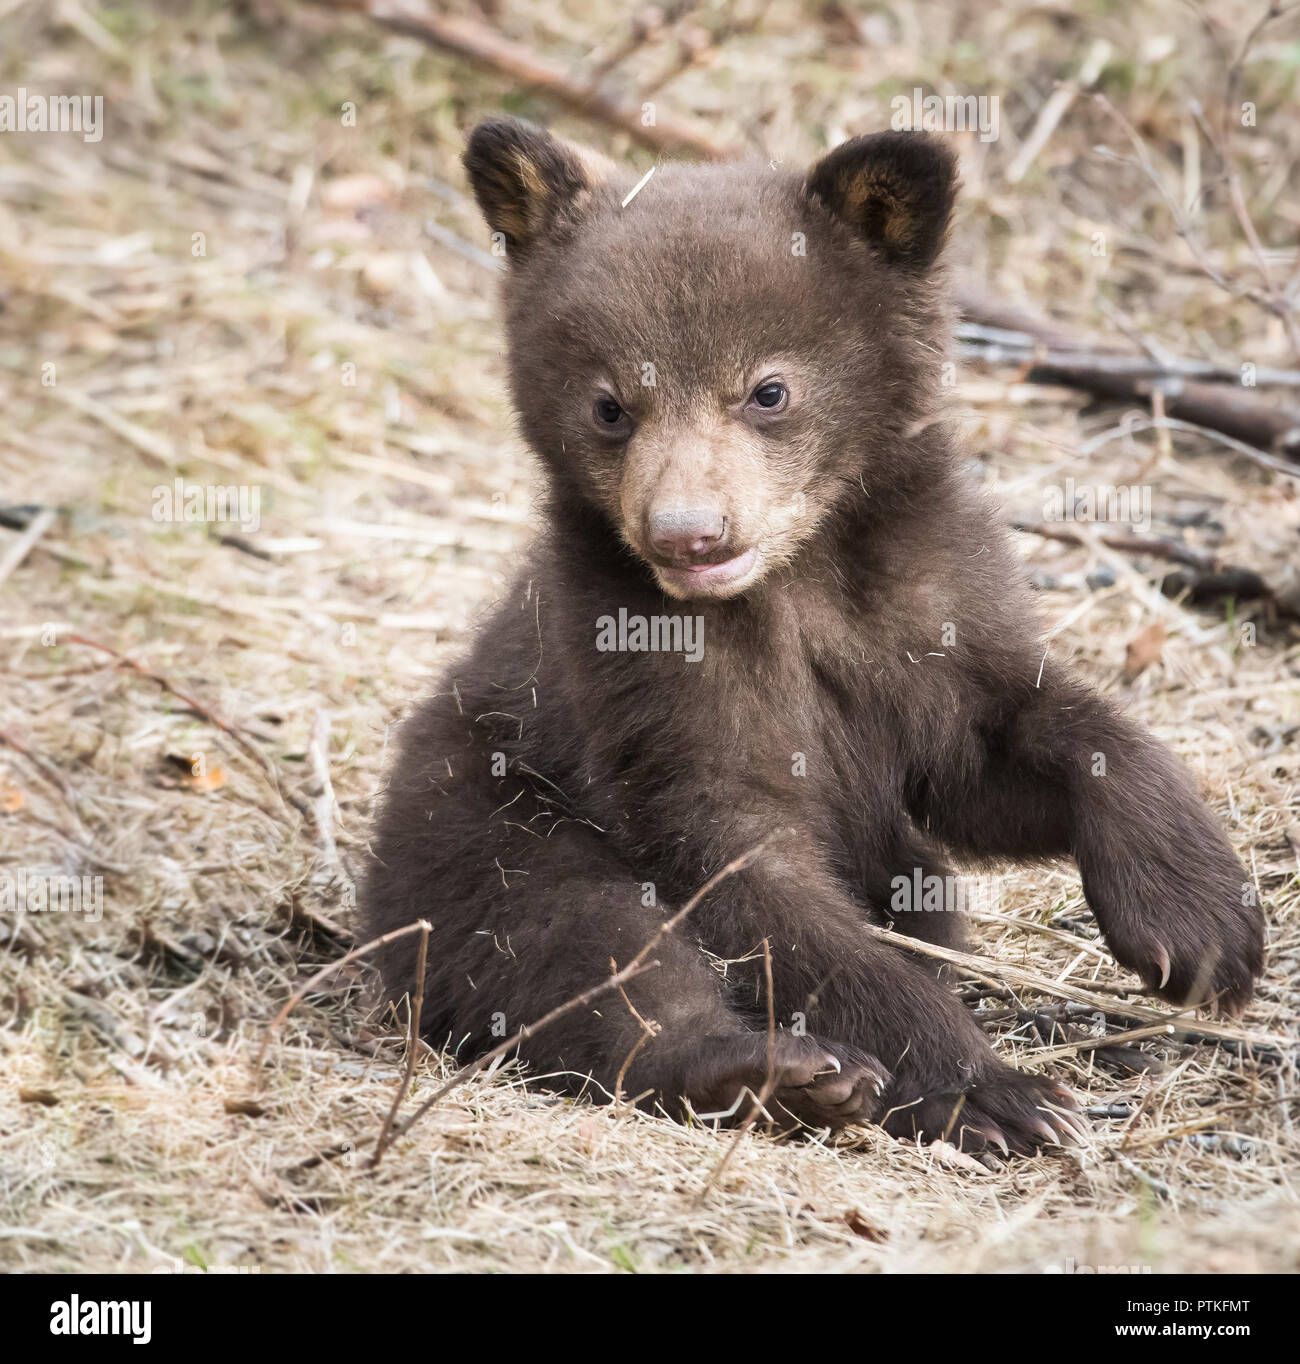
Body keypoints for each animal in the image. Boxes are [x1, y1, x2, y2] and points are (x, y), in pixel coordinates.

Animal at [362, 117, 1265, 1154]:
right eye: (609, 405)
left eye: (768, 390)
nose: (689, 535)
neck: (796, 576)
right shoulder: (637, 669)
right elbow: (747, 866)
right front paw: (995, 1092)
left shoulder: (925, 608)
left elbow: (1002, 750)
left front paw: (1202, 927)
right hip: (475, 813)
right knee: (573, 937)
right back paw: (772, 1074)